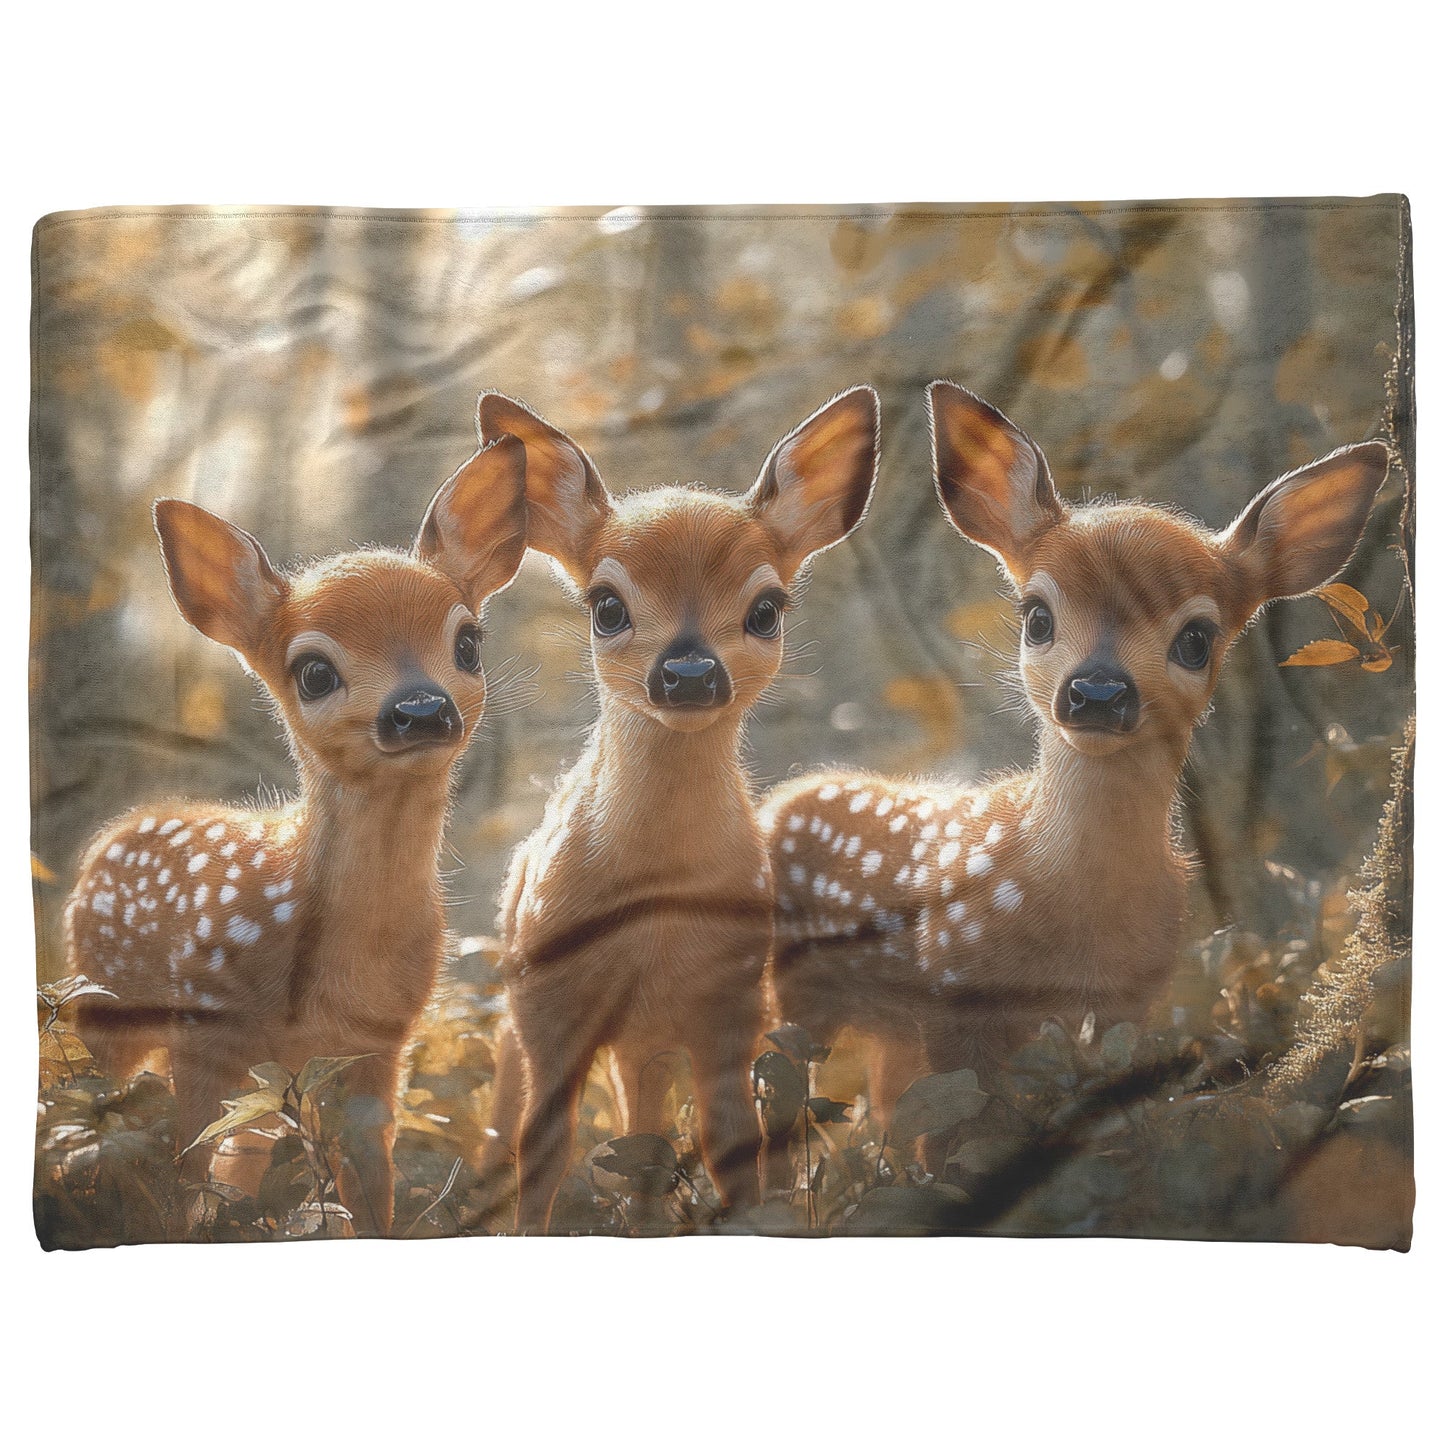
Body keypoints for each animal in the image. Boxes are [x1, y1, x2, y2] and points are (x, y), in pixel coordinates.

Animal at [61, 429, 529, 1236]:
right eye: (312, 672)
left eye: (468, 642)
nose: (420, 709)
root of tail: (109, 835)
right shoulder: (207, 1027)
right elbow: (187, 1175)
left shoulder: (380, 1041)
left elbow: (371, 1183)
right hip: (107, 1005)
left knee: (241, 1159)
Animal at [474, 385, 880, 1233]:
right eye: (605, 605)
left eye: (766, 608)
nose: (689, 672)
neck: (655, 905)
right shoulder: (552, 998)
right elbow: (544, 1150)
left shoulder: (729, 998)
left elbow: (731, 1148)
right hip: (521, 999)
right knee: (509, 1126)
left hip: (649, 1038)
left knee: (648, 1133)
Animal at [764, 380, 1389, 1134]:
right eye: (1037, 616)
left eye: (1196, 638)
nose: (1096, 691)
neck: (1074, 912)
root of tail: (779, 798)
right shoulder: (954, 982)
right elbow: (959, 1132)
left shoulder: (1130, 998)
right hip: (794, 983)